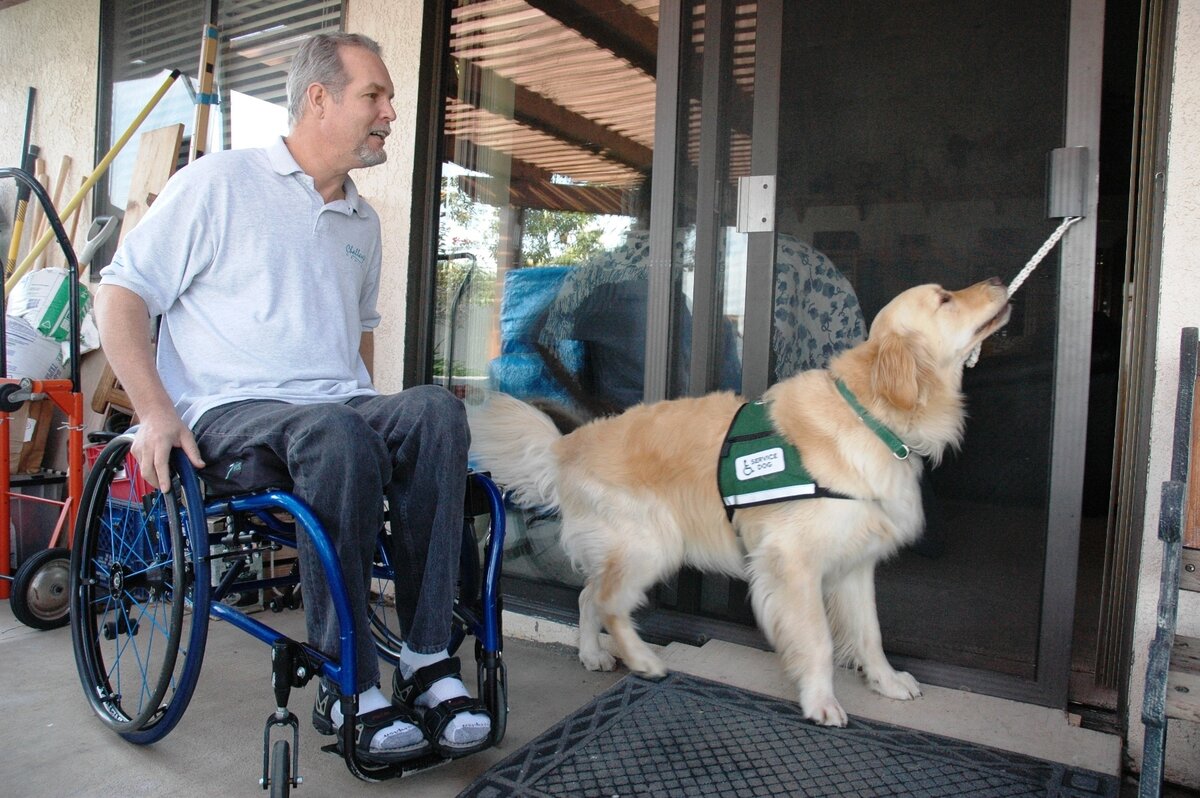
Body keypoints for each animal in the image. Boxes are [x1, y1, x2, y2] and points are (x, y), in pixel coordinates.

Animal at [468, 277, 1012, 724]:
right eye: (944, 299)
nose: (999, 280)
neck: (870, 414)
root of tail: (567, 445)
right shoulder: (791, 562)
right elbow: (817, 639)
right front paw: (821, 701)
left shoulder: (855, 564)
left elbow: (869, 634)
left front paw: (886, 682)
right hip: (653, 544)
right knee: (607, 603)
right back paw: (641, 659)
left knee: (587, 597)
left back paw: (593, 654)